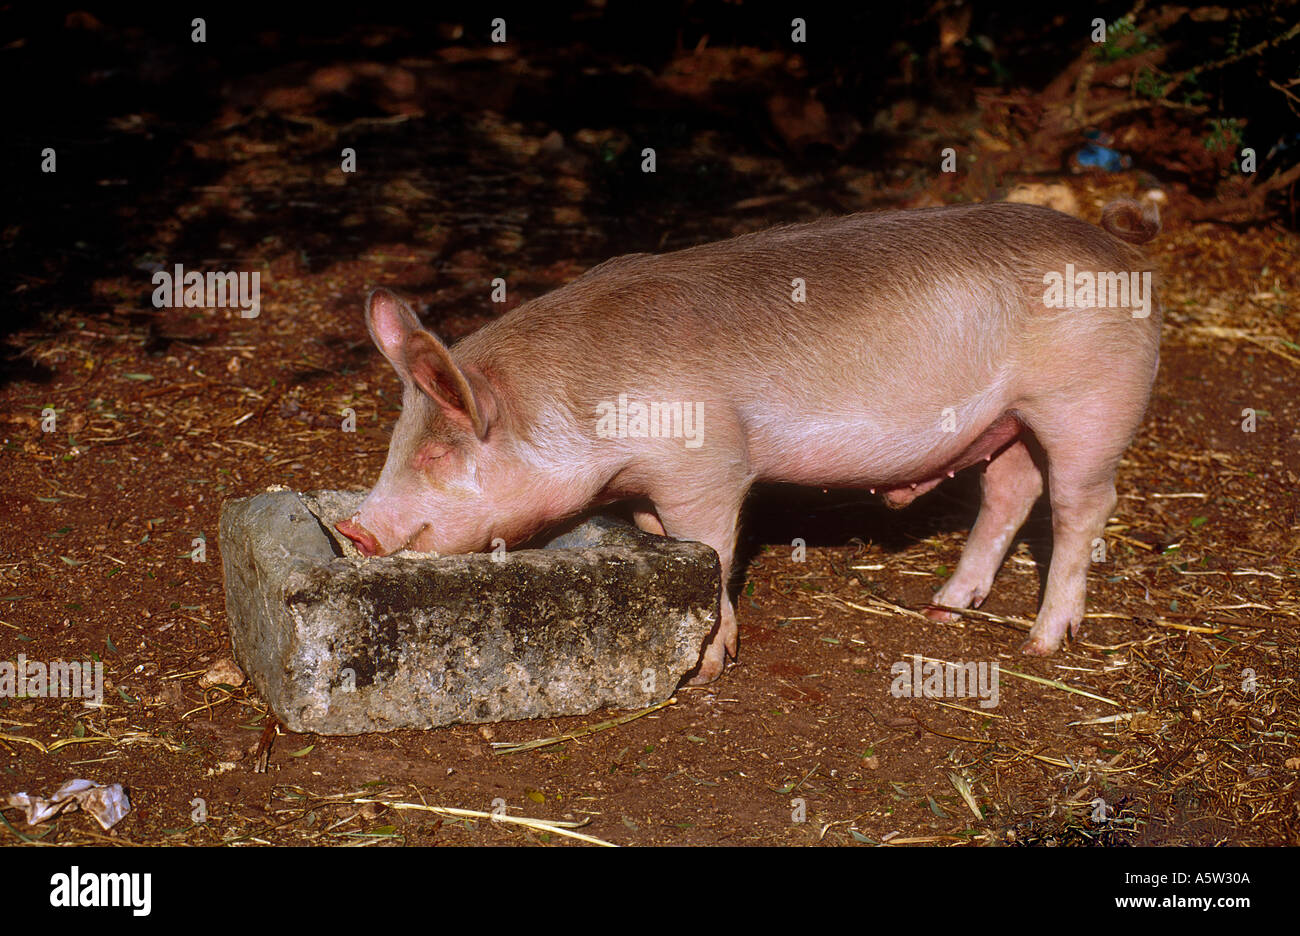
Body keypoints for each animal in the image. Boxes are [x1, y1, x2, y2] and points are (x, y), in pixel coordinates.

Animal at [337, 198, 1161, 684]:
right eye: (397, 443)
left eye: (439, 456)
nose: (354, 529)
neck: (583, 413)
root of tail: (1125, 257)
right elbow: (662, 535)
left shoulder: (709, 463)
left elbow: (712, 549)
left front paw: (708, 669)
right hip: (1011, 417)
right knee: (1010, 489)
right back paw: (942, 610)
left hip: (1086, 404)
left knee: (1083, 504)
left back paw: (1041, 643)